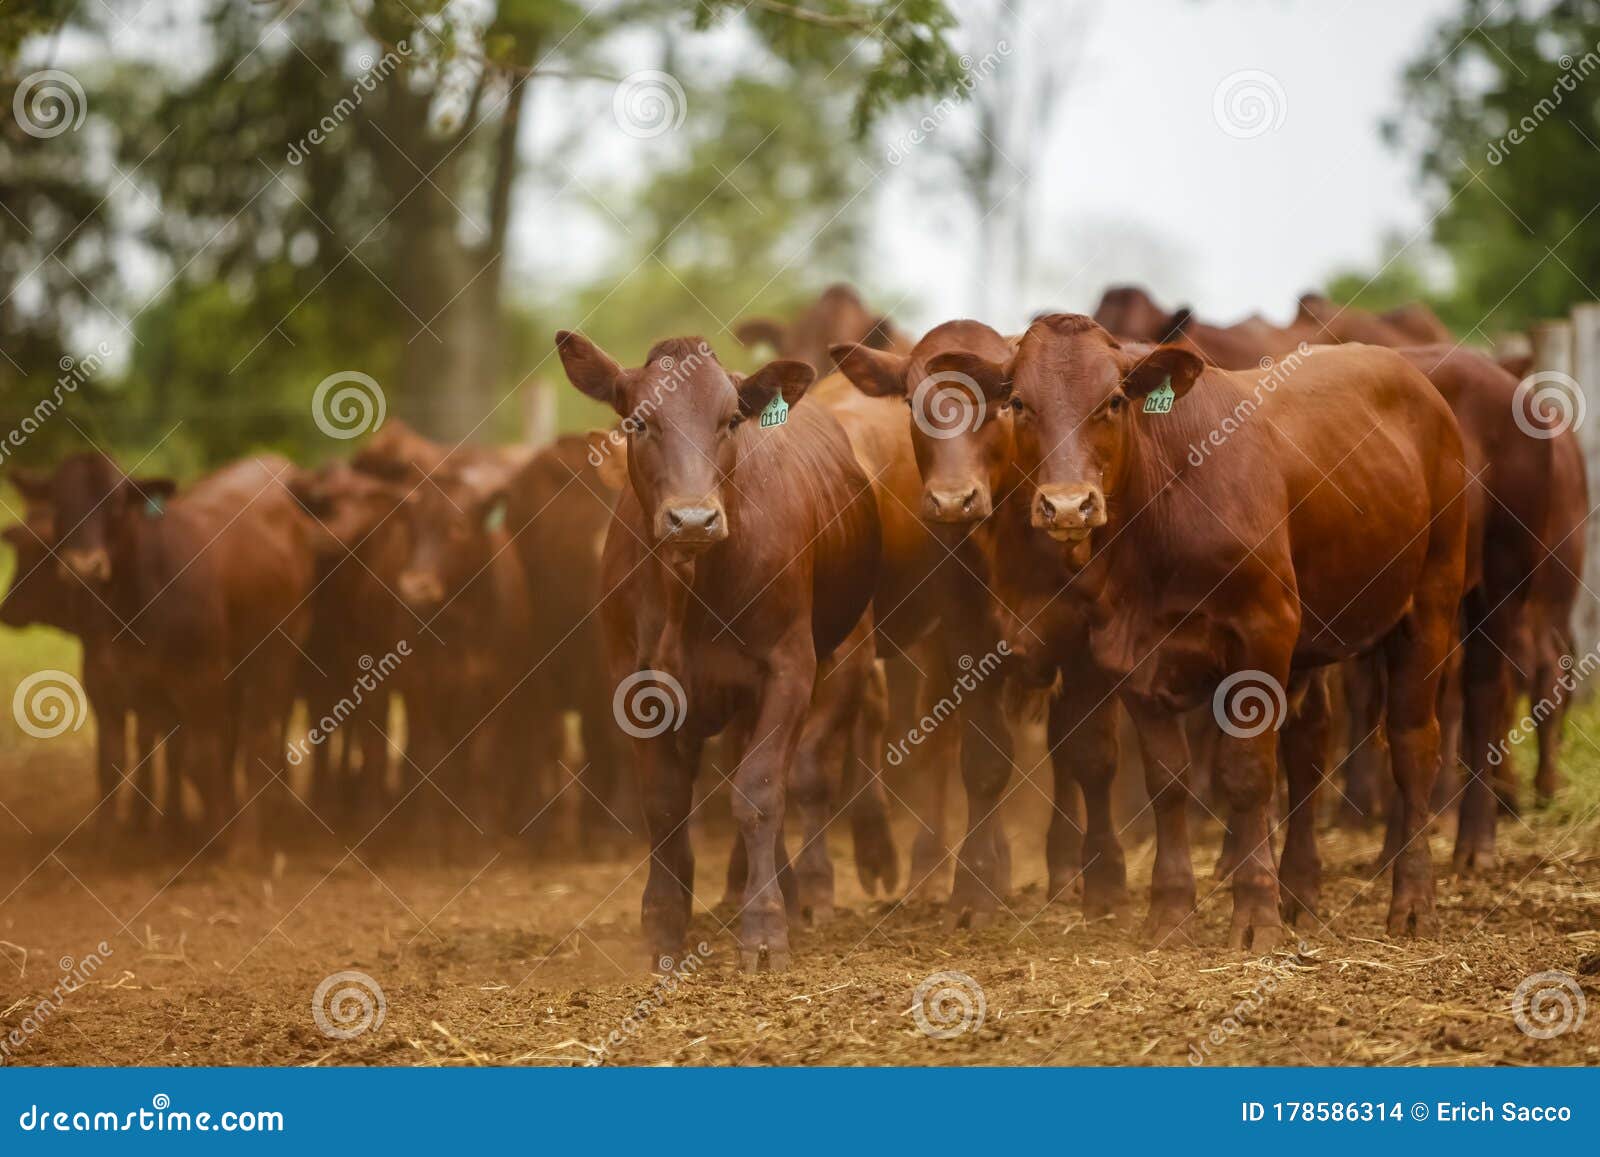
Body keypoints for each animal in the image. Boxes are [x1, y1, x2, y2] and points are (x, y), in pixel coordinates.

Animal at [555, 330, 880, 970]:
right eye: (637, 421)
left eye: (731, 419)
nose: (693, 519)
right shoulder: (633, 681)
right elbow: (663, 802)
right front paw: (663, 924)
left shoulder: (789, 668)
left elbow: (758, 792)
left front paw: (765, 929)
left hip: (841, 657)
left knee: (797, 777)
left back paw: (800, 892)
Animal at [926, 315, 1467, 946]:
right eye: (1017, 403)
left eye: (1114, 401)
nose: (1066, 507)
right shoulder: (1128, 653)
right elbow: (1168, 781)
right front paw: (1170, 910)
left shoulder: (1263, 634)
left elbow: (1247, 774)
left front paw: (1254, 915)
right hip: (1314, 640)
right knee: (1309, 746)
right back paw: (1300, 893)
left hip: (1429, 605)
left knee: (1412, 745)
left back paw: (1412, 901)